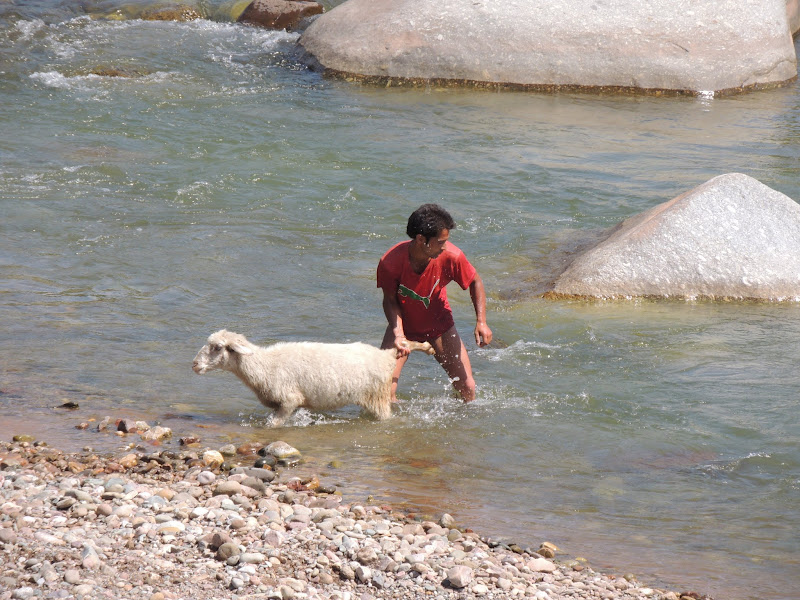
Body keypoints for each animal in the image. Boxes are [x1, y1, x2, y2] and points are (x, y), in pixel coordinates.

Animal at [192, 329, 435, 426]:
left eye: (217, 347)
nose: (194, 364)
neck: (265, 365)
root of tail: (387, 356)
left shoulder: (289, 400)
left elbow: (273, 425)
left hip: (378, 397)